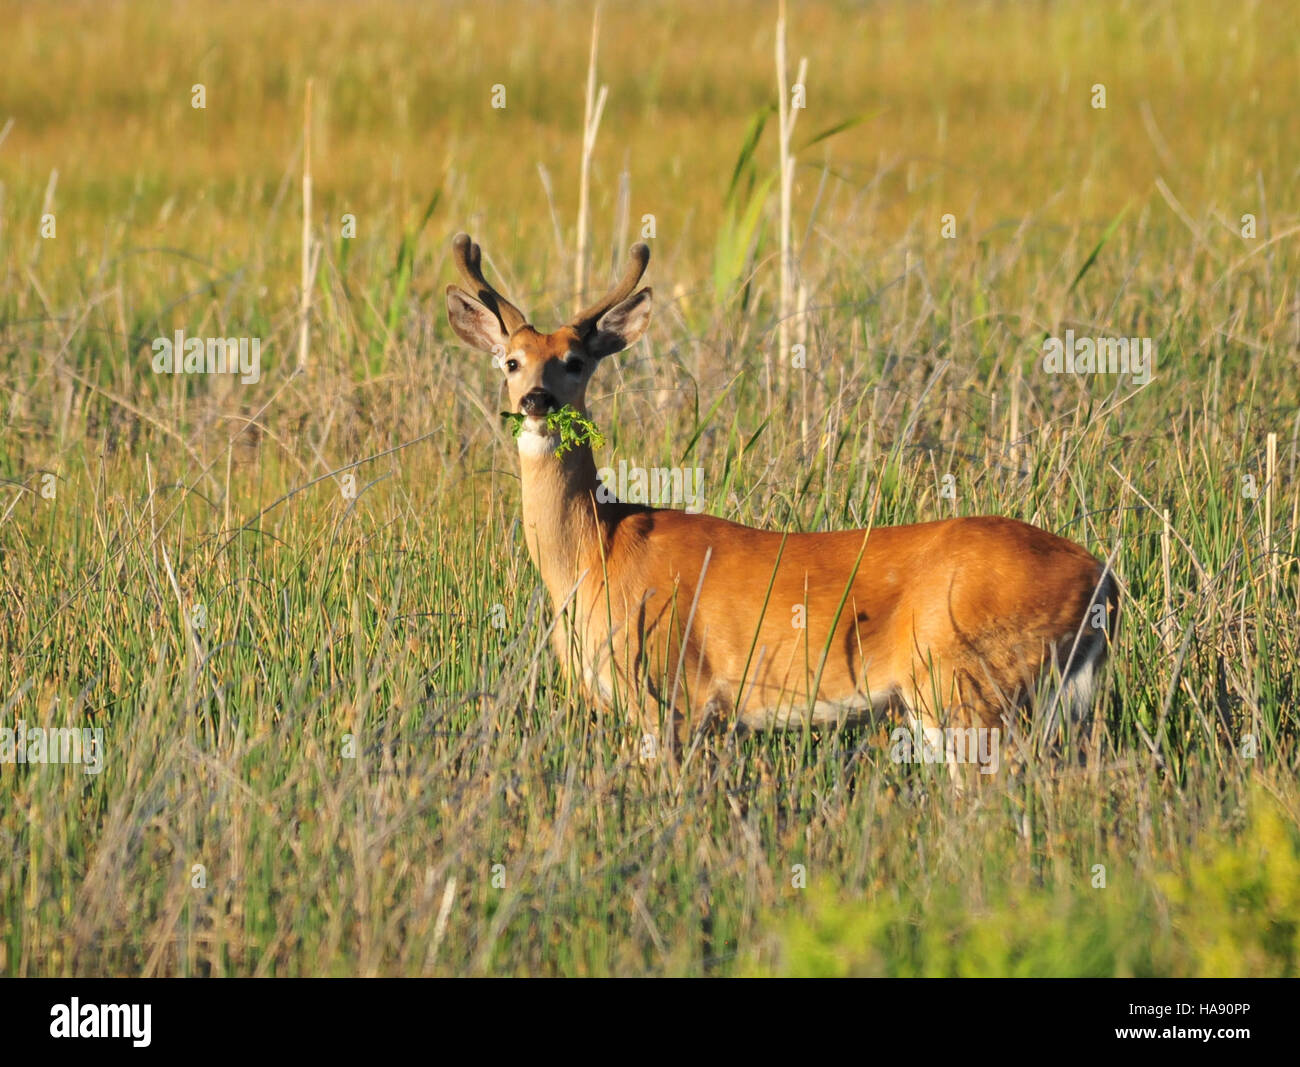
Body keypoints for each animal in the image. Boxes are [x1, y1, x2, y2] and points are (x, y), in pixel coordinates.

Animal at [445, 232, 1118, 771]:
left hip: (963, 682)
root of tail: (1102, 577)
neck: (596, 551)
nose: (536, 401)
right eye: (511, 361)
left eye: (576, 362)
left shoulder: (673, 694)